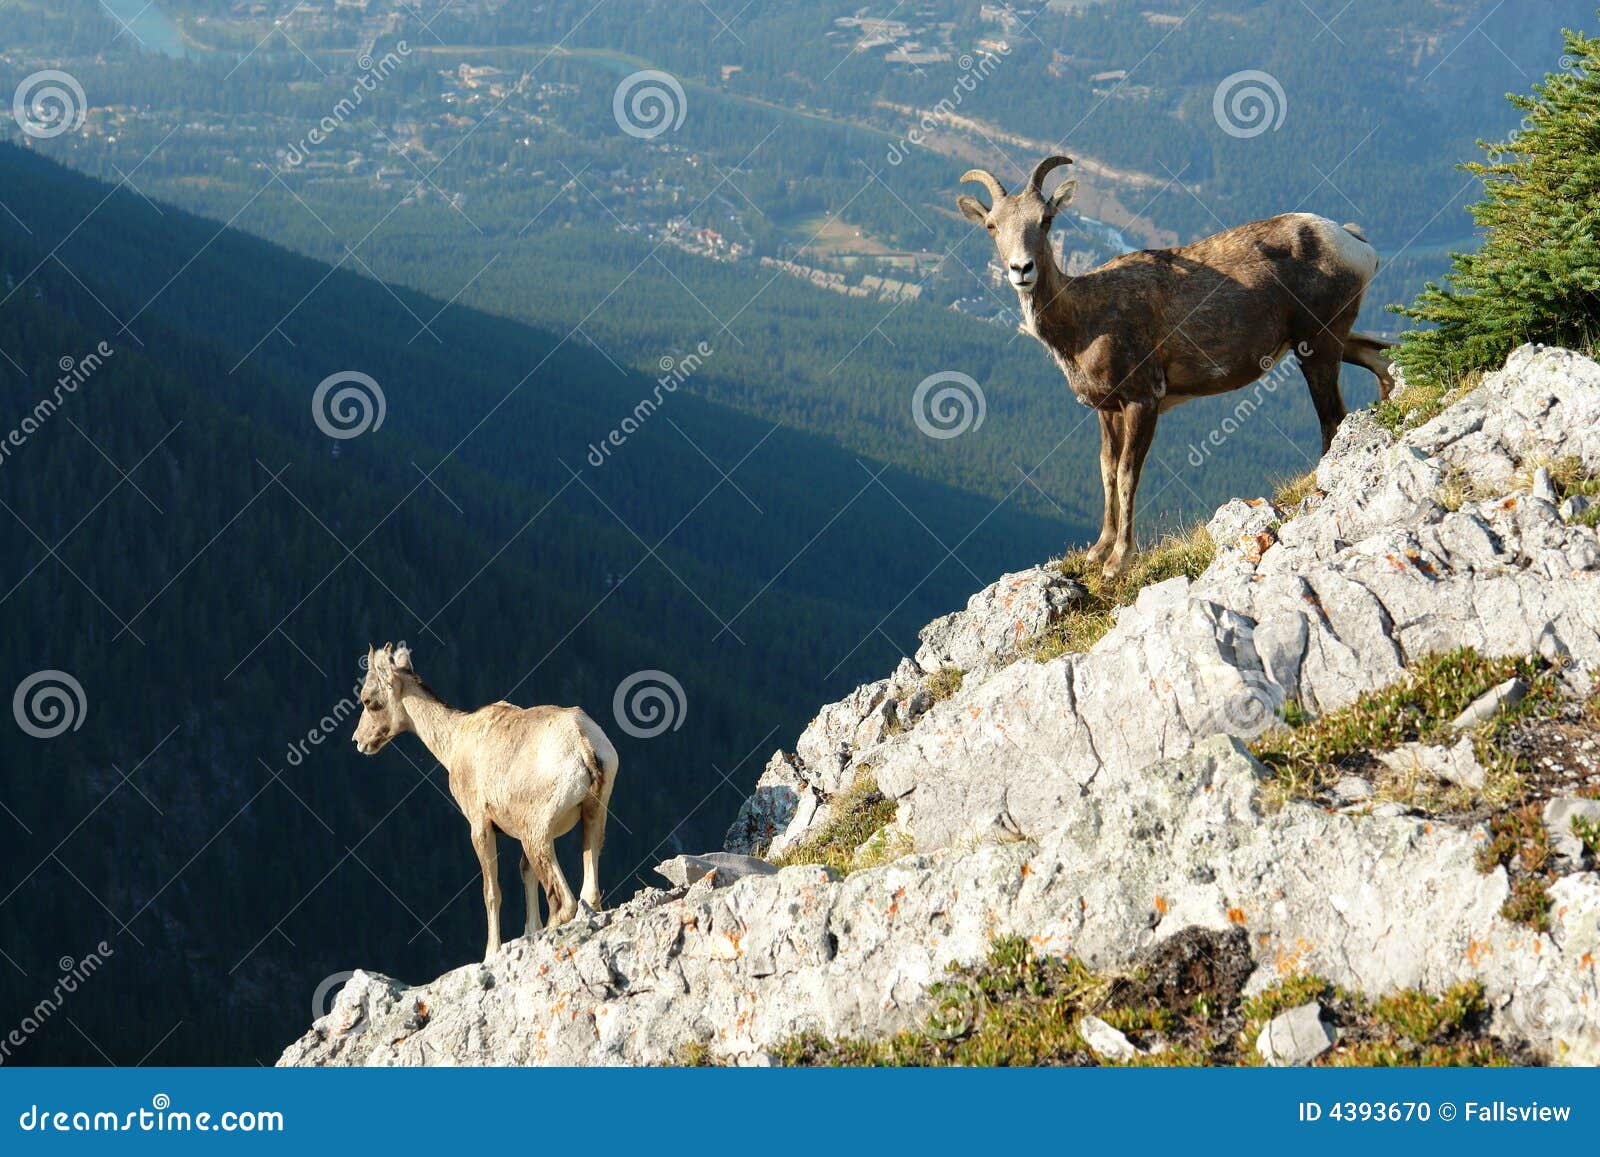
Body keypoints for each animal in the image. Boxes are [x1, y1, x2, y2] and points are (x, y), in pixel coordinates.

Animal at [352, 643, 619, 959]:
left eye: (369, 700)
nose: (359, 741)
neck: (455, 739)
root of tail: (583, 743)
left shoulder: (480, 825)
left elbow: (491, 892)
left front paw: (492, 951)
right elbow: (524, 873)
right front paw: (527, 931)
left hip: (537, 833)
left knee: (562, 900)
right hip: (593, 816)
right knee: (588, 893)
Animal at [959, 155, 1395, 580]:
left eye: (1046, 220)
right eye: (992, 225)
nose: (1022, 270)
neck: (1084, 320)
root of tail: (1356, 246)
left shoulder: (1143, 400)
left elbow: (1127, 474)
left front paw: (1118, 561)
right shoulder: (1106, 409)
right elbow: (1106, 470)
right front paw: (1097, 552)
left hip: (1317, 346)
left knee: (1332, 418)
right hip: (1327, 340)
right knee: (1380, 357)